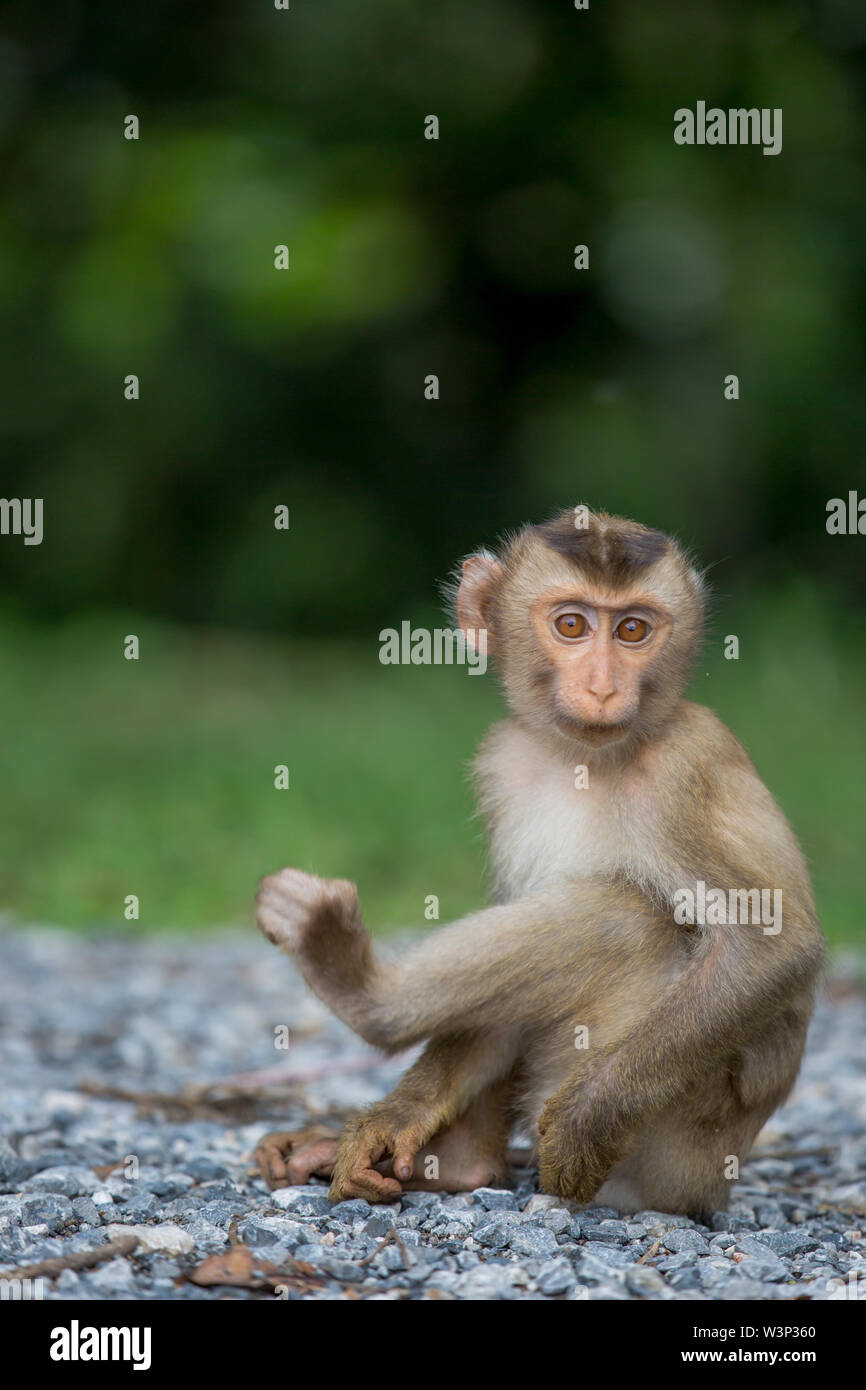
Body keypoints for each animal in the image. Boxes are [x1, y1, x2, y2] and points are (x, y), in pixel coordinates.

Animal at [254, 509, 824, 1219]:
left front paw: (589, 1118)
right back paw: (456, 1161)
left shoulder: (683, 769)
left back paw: (360, 990)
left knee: (625, 915)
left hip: (678, 1142)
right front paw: (402, 1113)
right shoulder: (505, 763)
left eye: (632, 630)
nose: (603, 686)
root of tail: (712, 1184)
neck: (584, 758)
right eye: (572, 625)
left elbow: (774, 944)